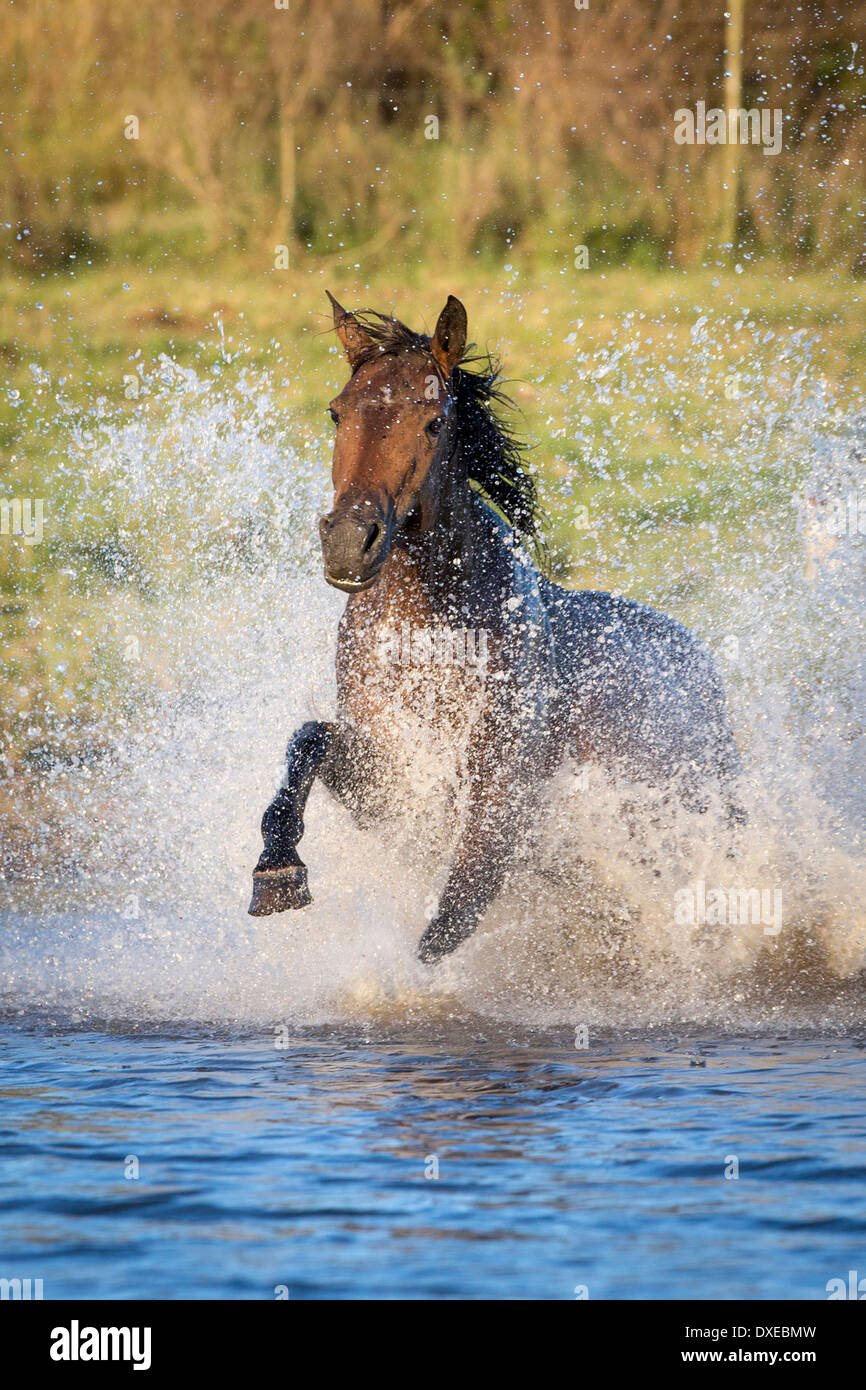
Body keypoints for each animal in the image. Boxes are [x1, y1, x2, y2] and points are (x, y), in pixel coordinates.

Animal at [248, 293, 744, 962]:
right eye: (335, 412)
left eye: (434, 421)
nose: (349, 545)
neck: (430, 642)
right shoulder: (393, 783)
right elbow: (307, 741)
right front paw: (277, 873)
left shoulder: (498, 800)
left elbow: (452, 914)